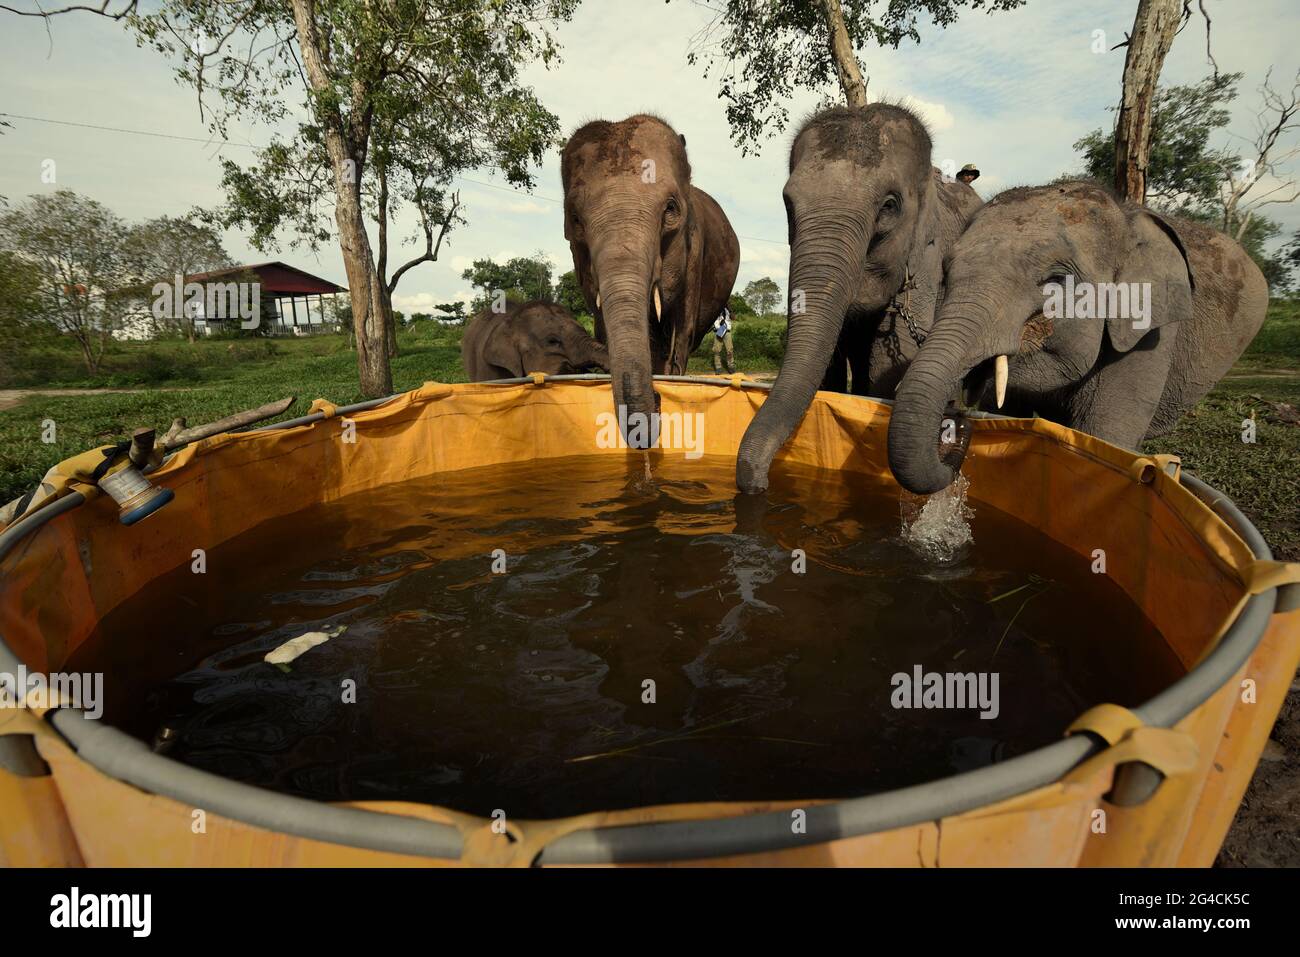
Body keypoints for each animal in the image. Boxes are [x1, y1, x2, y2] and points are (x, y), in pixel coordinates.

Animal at [561, 114, 740, 443]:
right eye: (575, 219)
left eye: (670, 209)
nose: (657, 405)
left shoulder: (694, 250)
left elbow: (680, 334)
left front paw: (669, 379)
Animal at [735, 104, 982, 494]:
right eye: (788, 205)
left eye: (889, 207)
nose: (757, 484)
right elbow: (830, 363)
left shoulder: (929, 259)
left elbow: (891, 359)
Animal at [887, 181, 1269, 495]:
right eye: (946, 272)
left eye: (1056, 281)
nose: (960, 424)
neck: (1125, 219)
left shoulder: (1151, 334)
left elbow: (1103, 433)